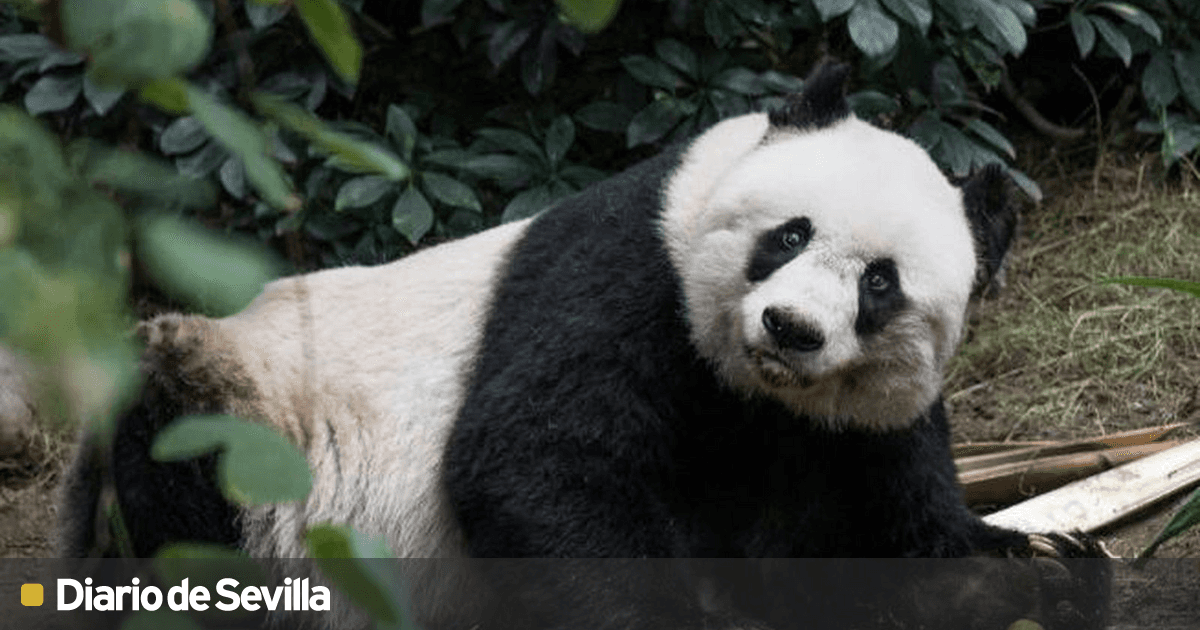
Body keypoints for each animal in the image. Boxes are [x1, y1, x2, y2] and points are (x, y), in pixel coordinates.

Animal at [58, 62, 1108, 630]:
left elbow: (889, 519)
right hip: (246, 426)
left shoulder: (852, 425)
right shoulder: (625, 278)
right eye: (788, 235)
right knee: (189, 482)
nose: (792, 328)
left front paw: (1031, 565)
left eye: (880, 284)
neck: (753, 391)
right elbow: (538, 460)